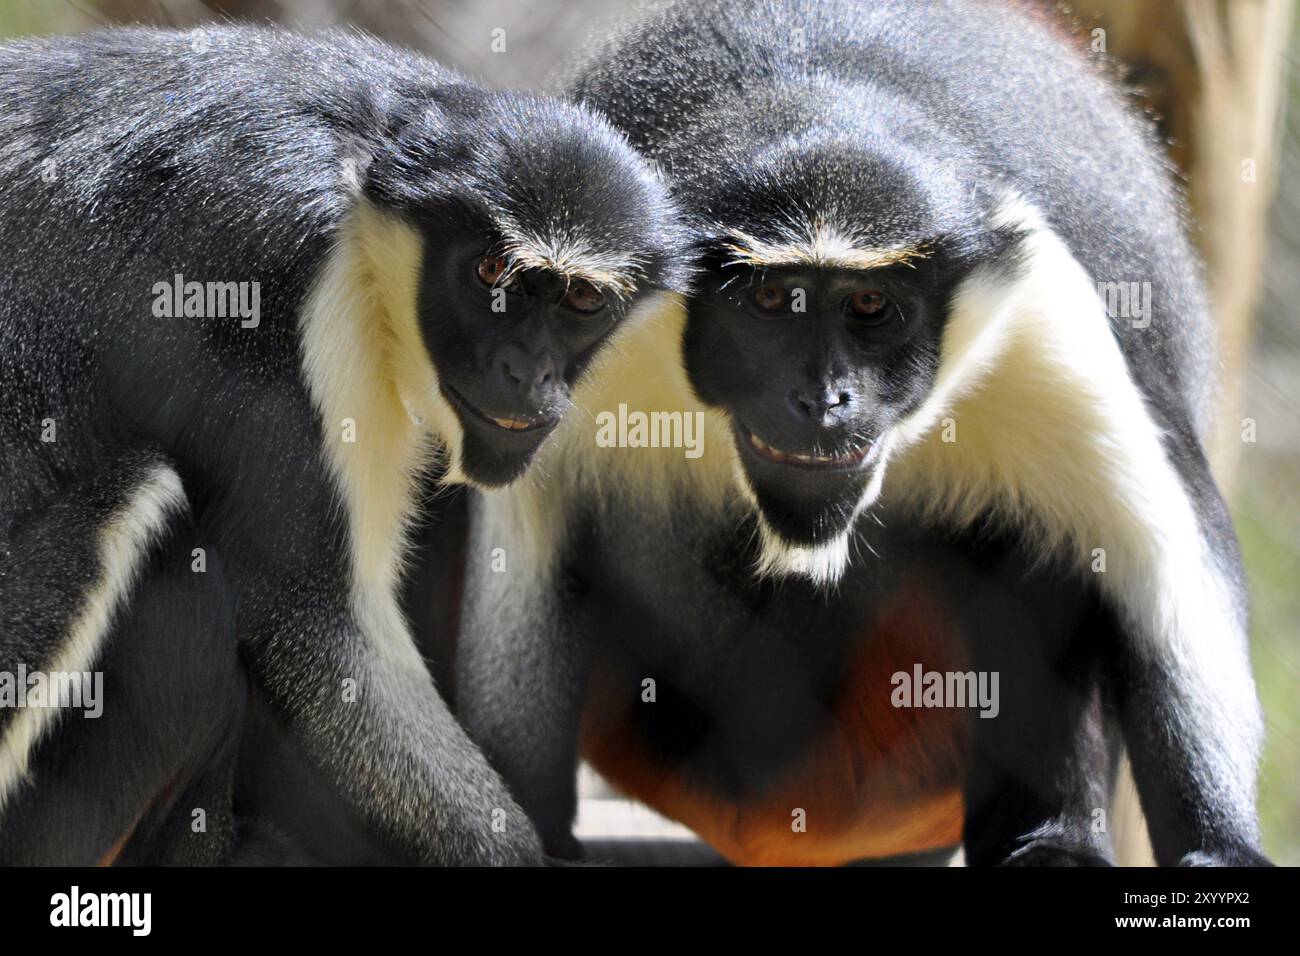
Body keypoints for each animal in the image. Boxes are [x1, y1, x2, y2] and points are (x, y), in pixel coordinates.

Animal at [0, 25, 687, 865]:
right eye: (490, 270)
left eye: (581, 299)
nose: (527, 370)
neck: (368, 153)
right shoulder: (279, 276)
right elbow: (315, 618)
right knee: (151, 515)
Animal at [451, 0, 1272, 866]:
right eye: (773, 300)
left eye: (871, 307)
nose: (825, 399)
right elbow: (533, 571)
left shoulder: (1050, 312)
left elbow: (1164, 569)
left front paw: (1221, 849)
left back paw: (1055, 839)